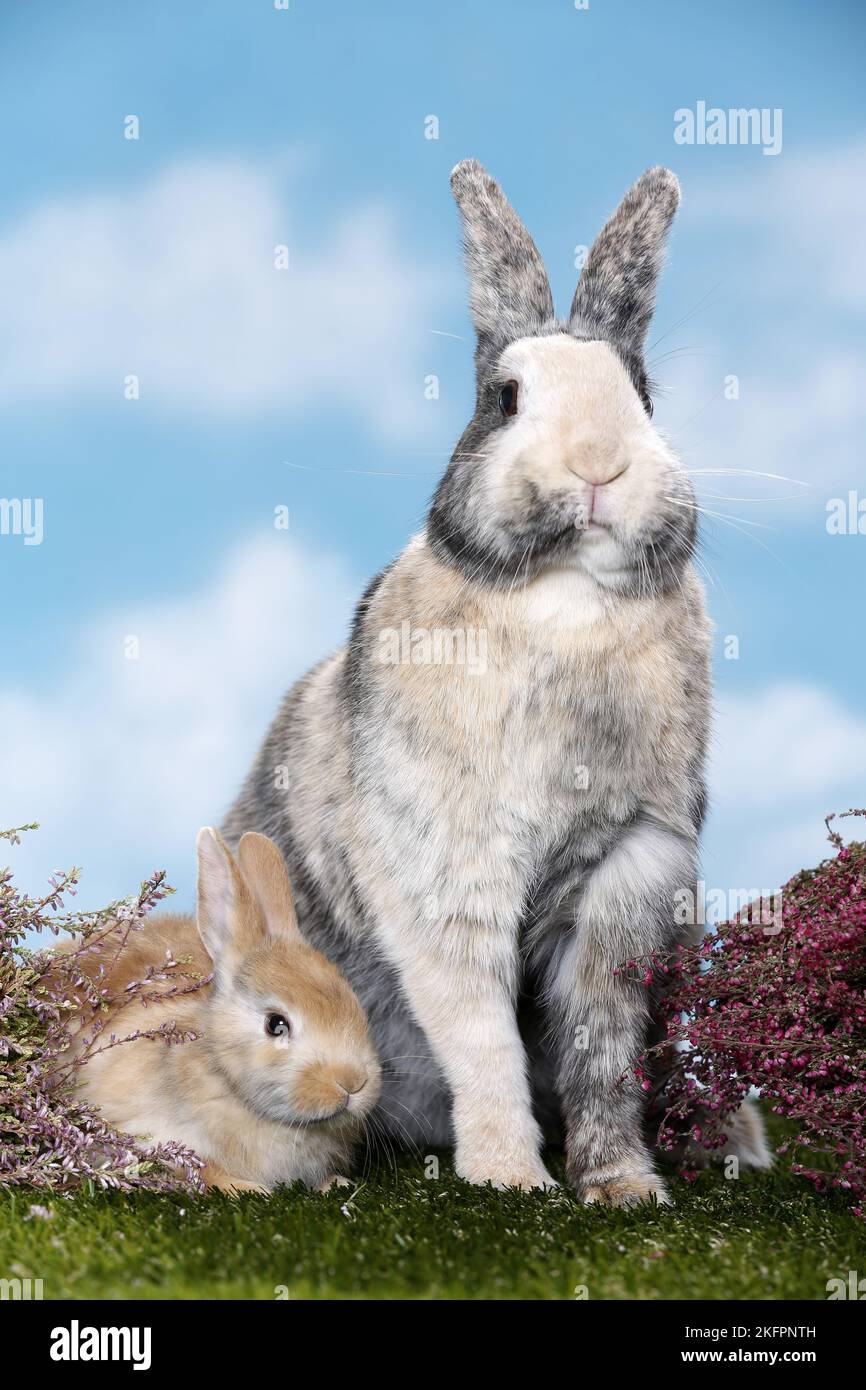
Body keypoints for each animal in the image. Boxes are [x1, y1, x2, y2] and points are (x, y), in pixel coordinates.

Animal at [62, 828, 381, 1193]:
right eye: (276, 1024)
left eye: (355, 1005)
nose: (353, 1083)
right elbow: (200, 1170)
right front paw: (249, 1189)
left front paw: (334, 1183)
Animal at [223, 160, 769, 1204]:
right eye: (504, 398)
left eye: (644, 392)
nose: (599, 463)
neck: (564, 600)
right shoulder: (447, 872)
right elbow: (481, 1040)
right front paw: (512, 1180)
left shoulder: (632, 867)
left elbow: (601, 1044)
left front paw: (621, 1186)